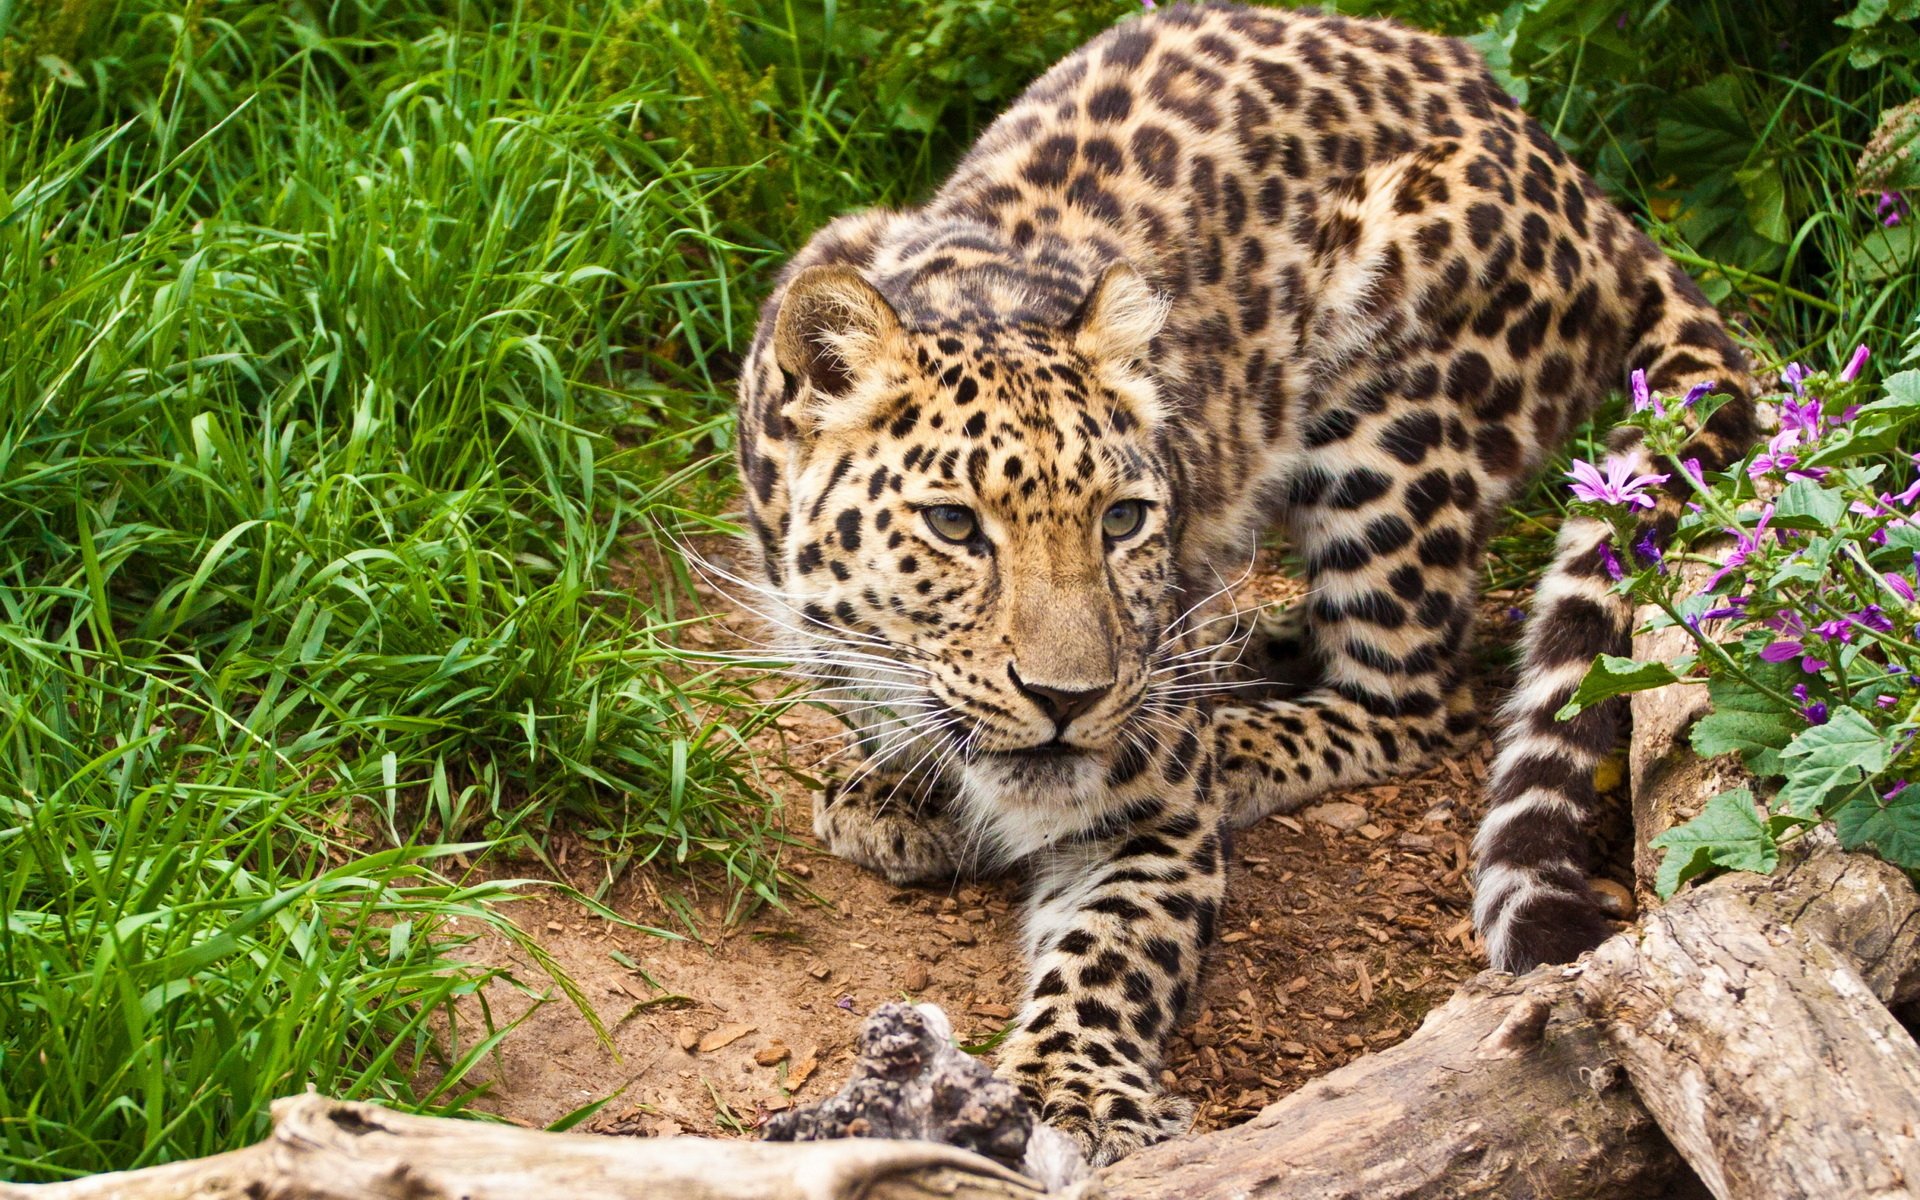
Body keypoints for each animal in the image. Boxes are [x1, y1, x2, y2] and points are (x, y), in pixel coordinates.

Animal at [731, 0, 1758, 1165]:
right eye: (955, 526)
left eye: (1122, 520)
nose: (1070, 701)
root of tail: (1586, 189)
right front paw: (893, 783)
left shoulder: (1155, 818)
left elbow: (1112, 951)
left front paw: (1073, 1090)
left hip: (1394, 427)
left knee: (1414, 699)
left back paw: (1241, 731)